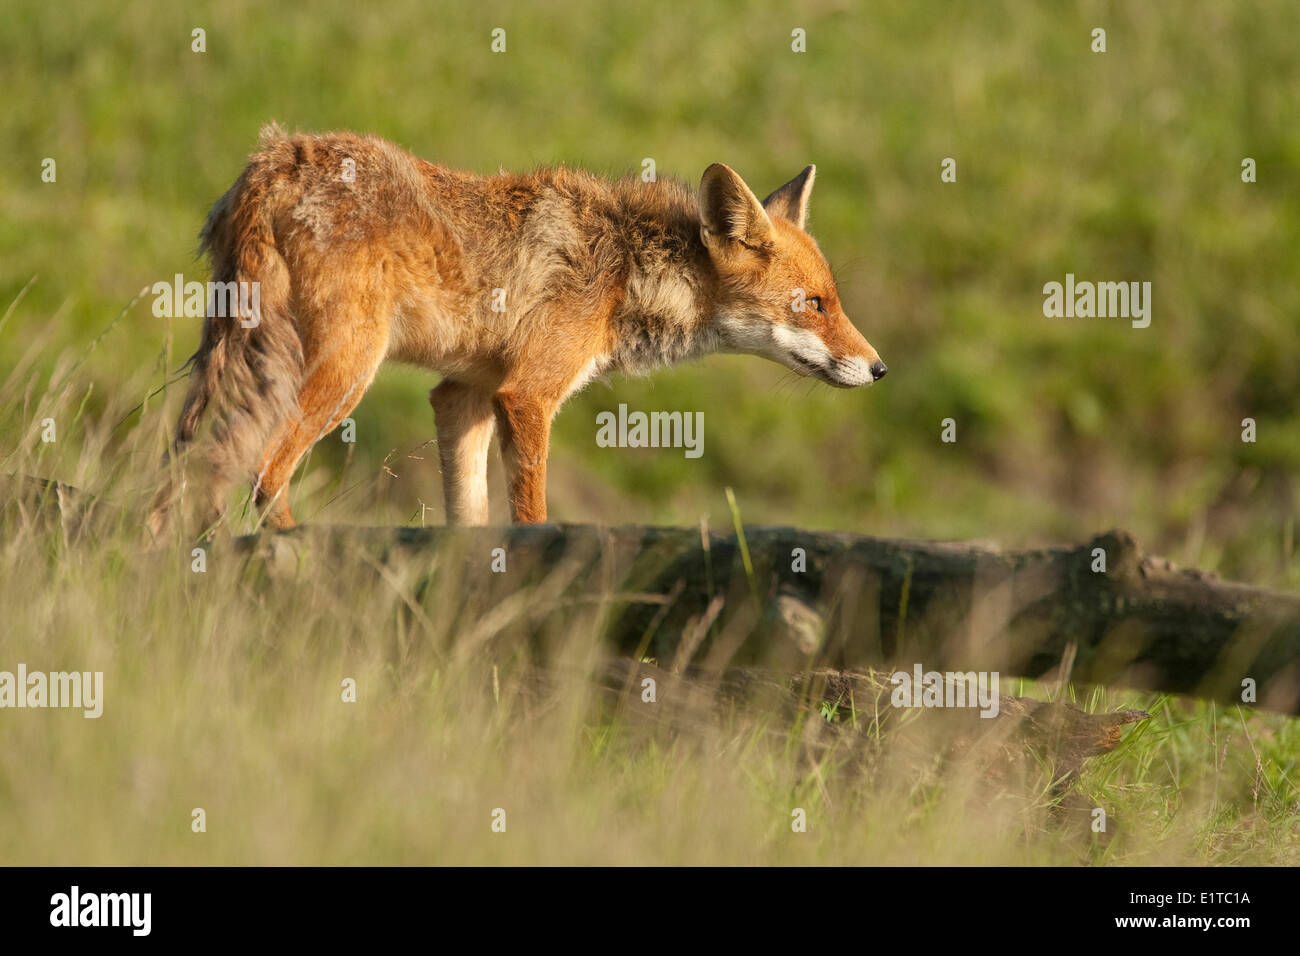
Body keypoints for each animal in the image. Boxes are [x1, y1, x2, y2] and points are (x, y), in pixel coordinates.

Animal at [150, 124, 886, 535]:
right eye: (814, 304)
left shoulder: (464, 394)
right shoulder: (527, 395)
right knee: (261, 473)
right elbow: (529, 517)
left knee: (181, 468)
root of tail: (276, 157)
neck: (626, 269)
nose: (879, 368)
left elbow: (467, 517)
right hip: (342, 372)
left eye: (833, 300)